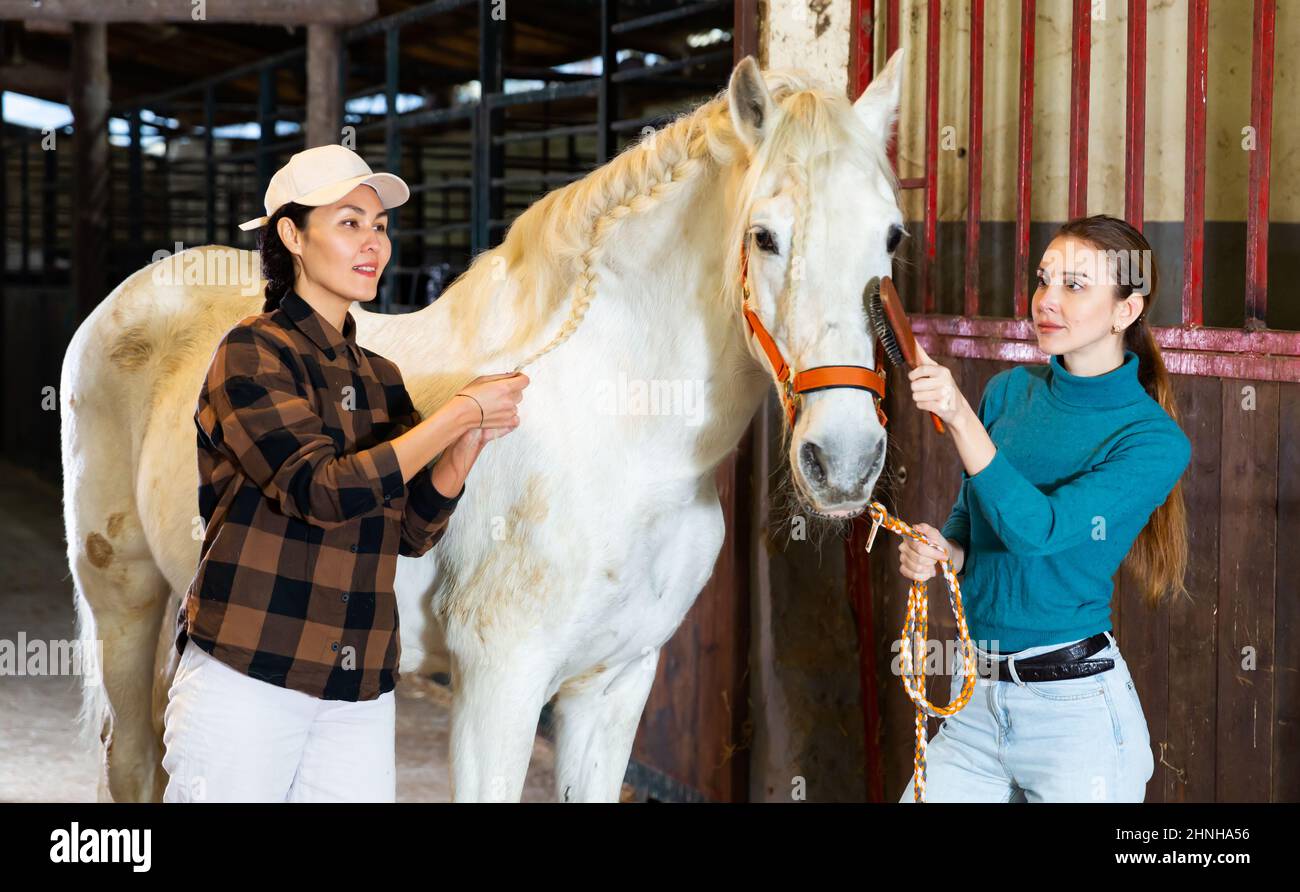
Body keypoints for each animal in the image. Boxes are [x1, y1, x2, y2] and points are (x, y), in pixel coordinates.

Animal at [58, 52, 906, 802]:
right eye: (764, 236)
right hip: (122, 600)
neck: (624, 448)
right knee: (131, 761)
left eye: (892, 237)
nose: (844, 459)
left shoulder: (614, 684)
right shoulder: (499, 680)